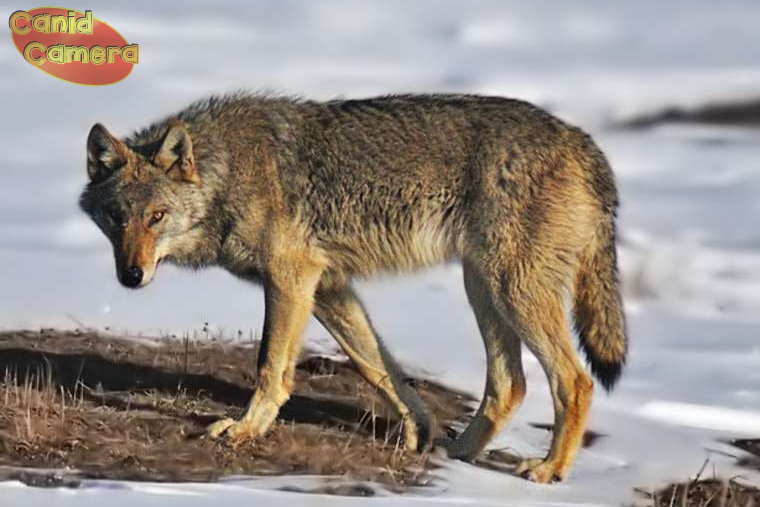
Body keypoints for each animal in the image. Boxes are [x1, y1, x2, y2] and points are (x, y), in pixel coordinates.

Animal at [79, 92, 627, 483]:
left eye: (157, 216)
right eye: (117, 217)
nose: (131, 276)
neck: (230, 172)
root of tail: (584, 143)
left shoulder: (291, 277)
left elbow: (270, 365)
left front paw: (244, 430)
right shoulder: (328, 286)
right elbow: (378, 369)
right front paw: (419, 433)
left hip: (510, 290)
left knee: (575, 380)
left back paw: (549, 470)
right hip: (483, 289)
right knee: (510, 384)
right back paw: (457, 455)